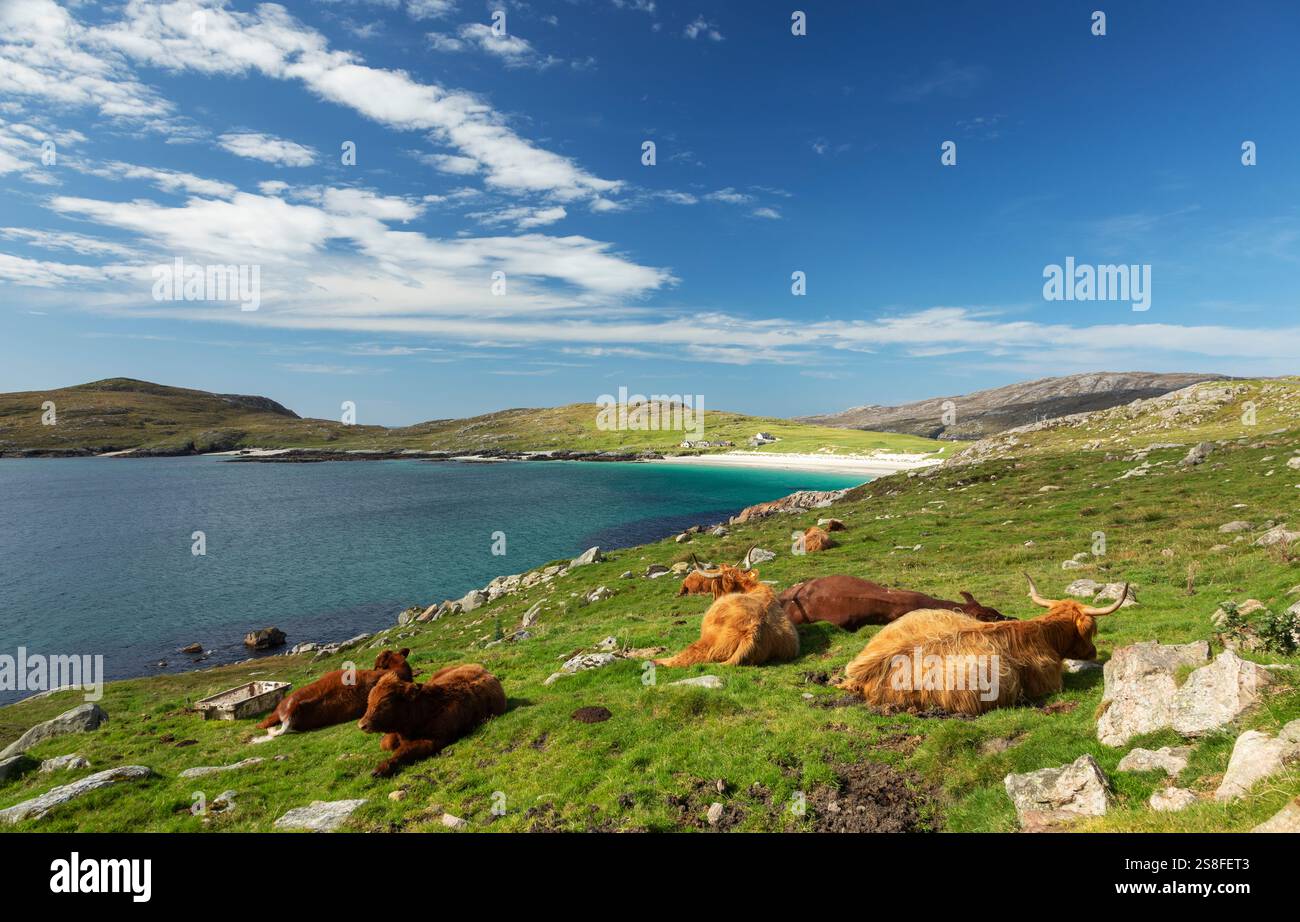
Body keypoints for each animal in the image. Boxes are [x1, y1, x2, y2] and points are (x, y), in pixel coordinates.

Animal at [358, 664, 506, 777]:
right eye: (369, 701)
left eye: (386, 702)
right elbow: (386, 743)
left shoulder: (435, 739)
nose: (362, 725)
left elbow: (404, 751)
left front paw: (380, 769)